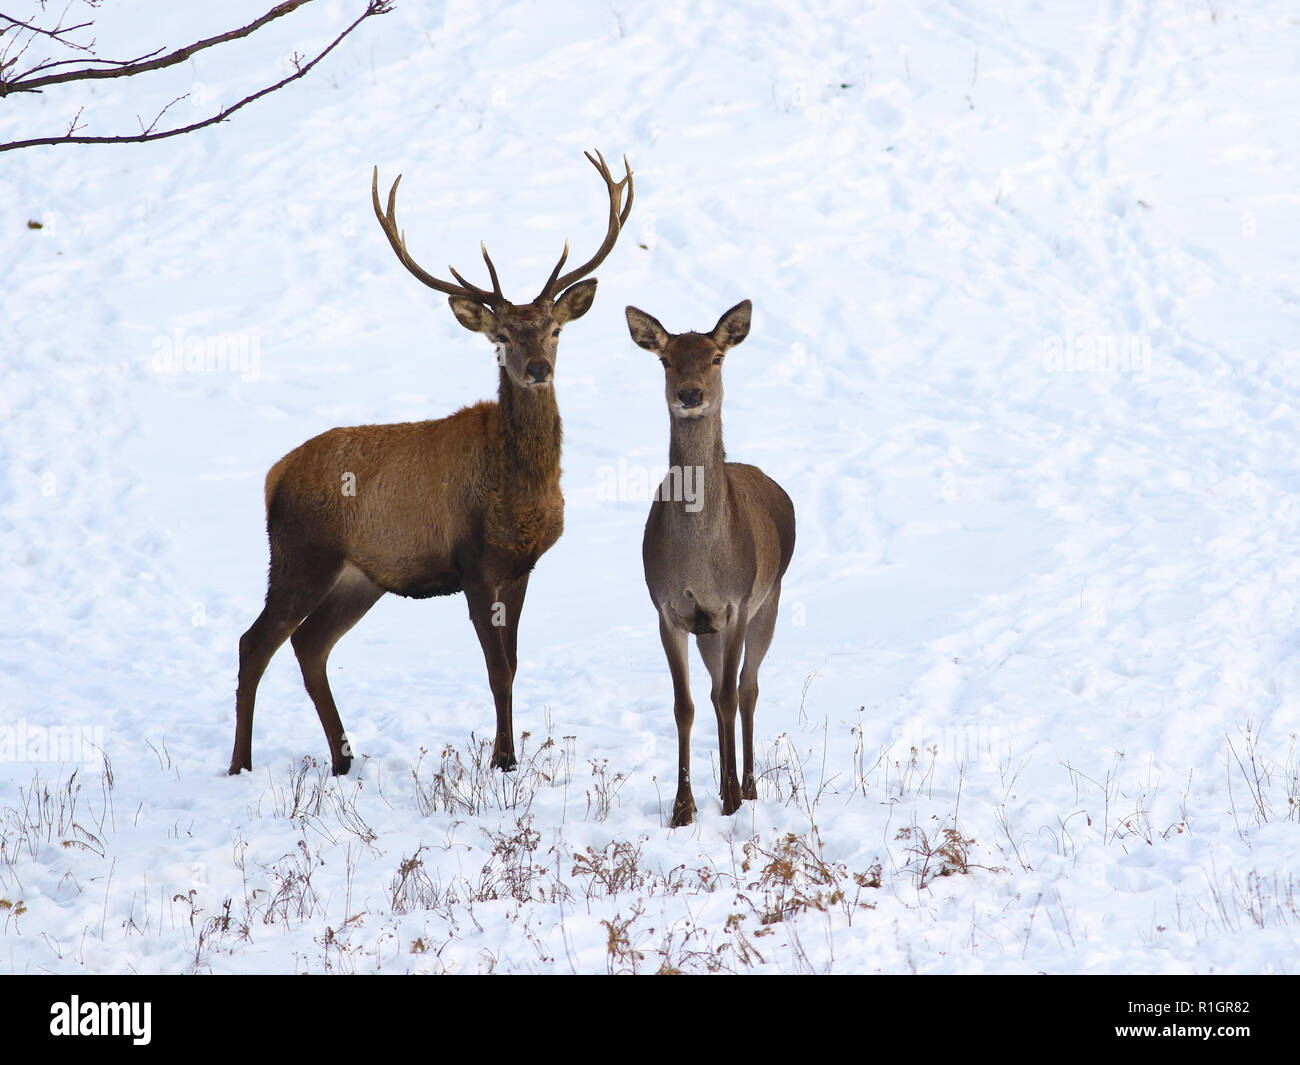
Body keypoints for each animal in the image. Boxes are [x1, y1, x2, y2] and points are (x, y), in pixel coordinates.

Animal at [228, 150, 633, 778]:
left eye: (555, 329)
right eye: (502, 335)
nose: (538, 368)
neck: (520, 492)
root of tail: (272, 478)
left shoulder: (522, 567)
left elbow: (514, 665)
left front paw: (508, 755)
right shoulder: (474, 563)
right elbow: (496, 670)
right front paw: (502, 761)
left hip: (359, 577)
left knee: (309, 644)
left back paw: (344, 760)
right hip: (301, 554)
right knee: (255, 642)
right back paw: (240, 765)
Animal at [625, 299, 796, 827]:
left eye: (717, 356)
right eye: (665, 360)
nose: (690, 393)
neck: (699, 562)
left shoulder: (736, 603)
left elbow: (728, 695)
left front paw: (732, 797)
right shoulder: (669, 610)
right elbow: (685, 705)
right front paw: (684, 808)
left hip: (770, 601)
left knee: (746, 688)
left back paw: (746, 787)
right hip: (709, 631)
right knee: (721, 690)